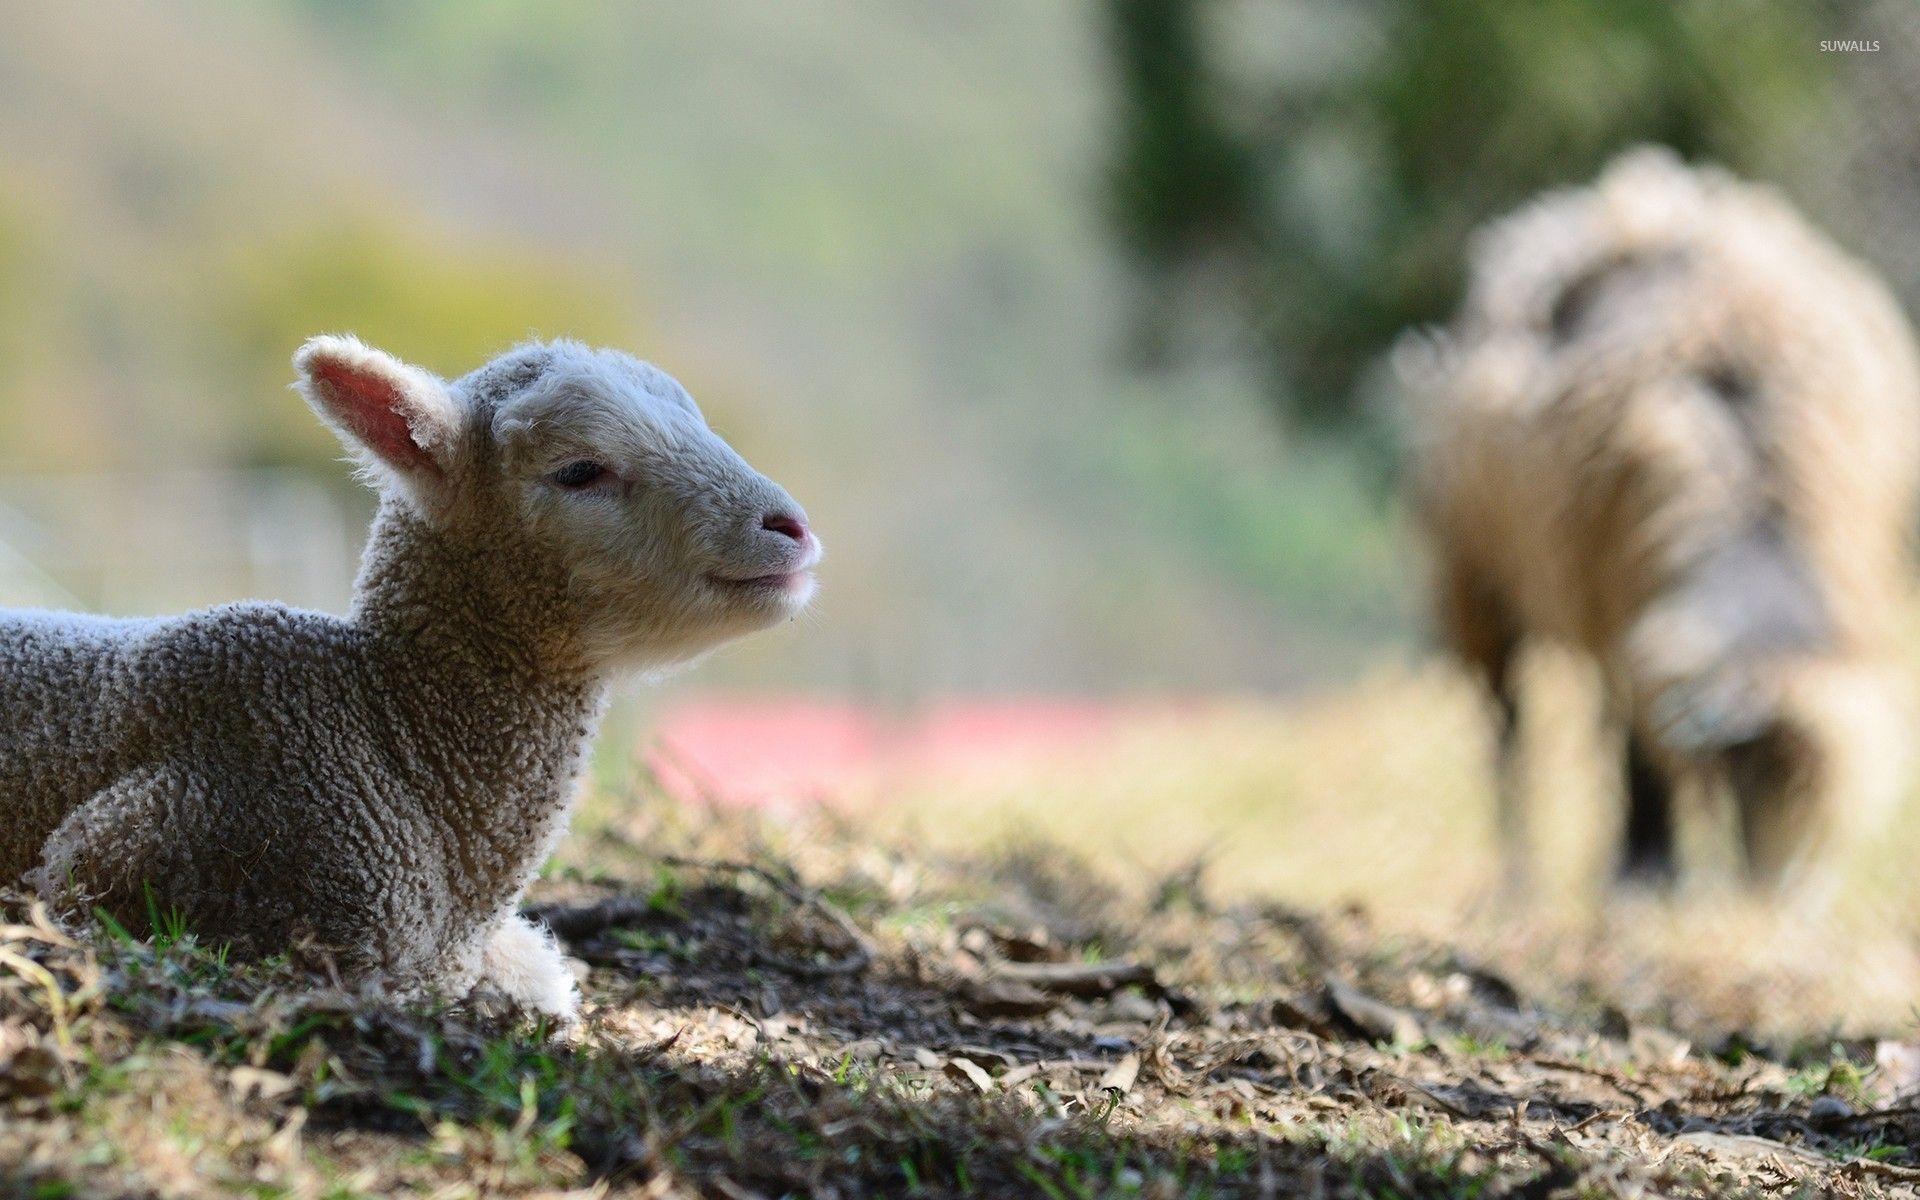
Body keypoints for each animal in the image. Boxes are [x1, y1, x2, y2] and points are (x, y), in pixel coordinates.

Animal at [1401, 147, 1920, 894]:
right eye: (1747, 783)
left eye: (1834, 822)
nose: (1782, 904)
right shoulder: (1618, 606)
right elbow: (1640, 754)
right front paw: (1646, 873)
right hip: (1477, 585)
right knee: (1510, 738)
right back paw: (1524, 875)